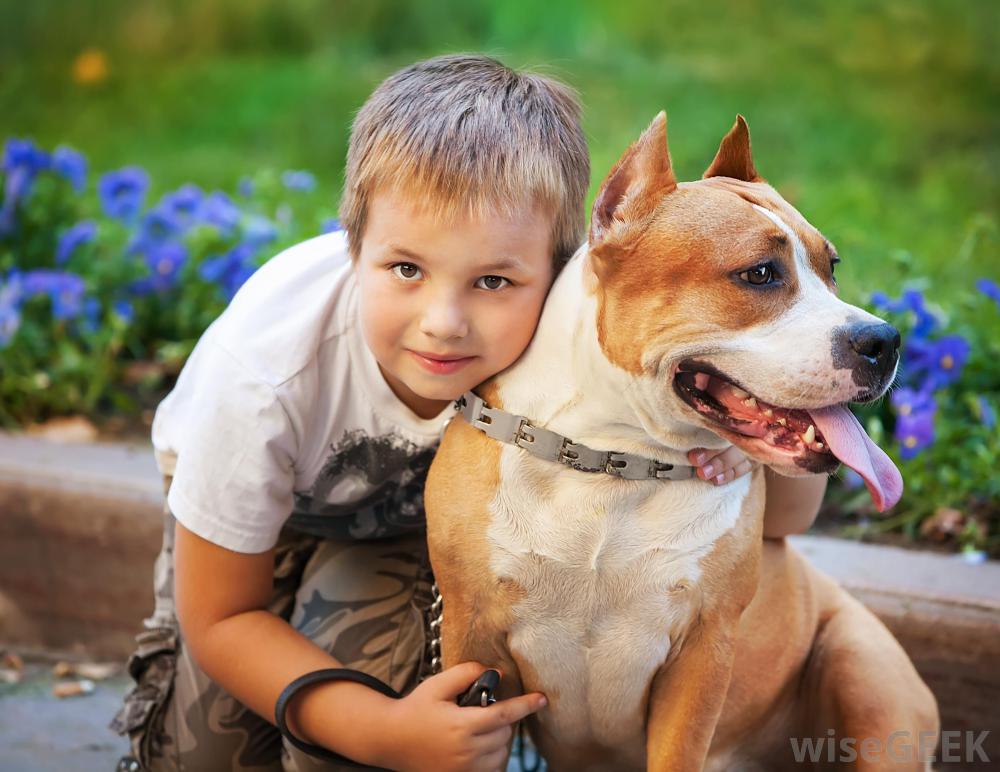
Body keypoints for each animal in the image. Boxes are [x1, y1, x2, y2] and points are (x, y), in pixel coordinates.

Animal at [426, 114, 940, 772]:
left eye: (832, 267)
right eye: (760, 273)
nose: (884, 340)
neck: (610, 460)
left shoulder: (703, 650)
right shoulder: (471, 637)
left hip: (864, 672)